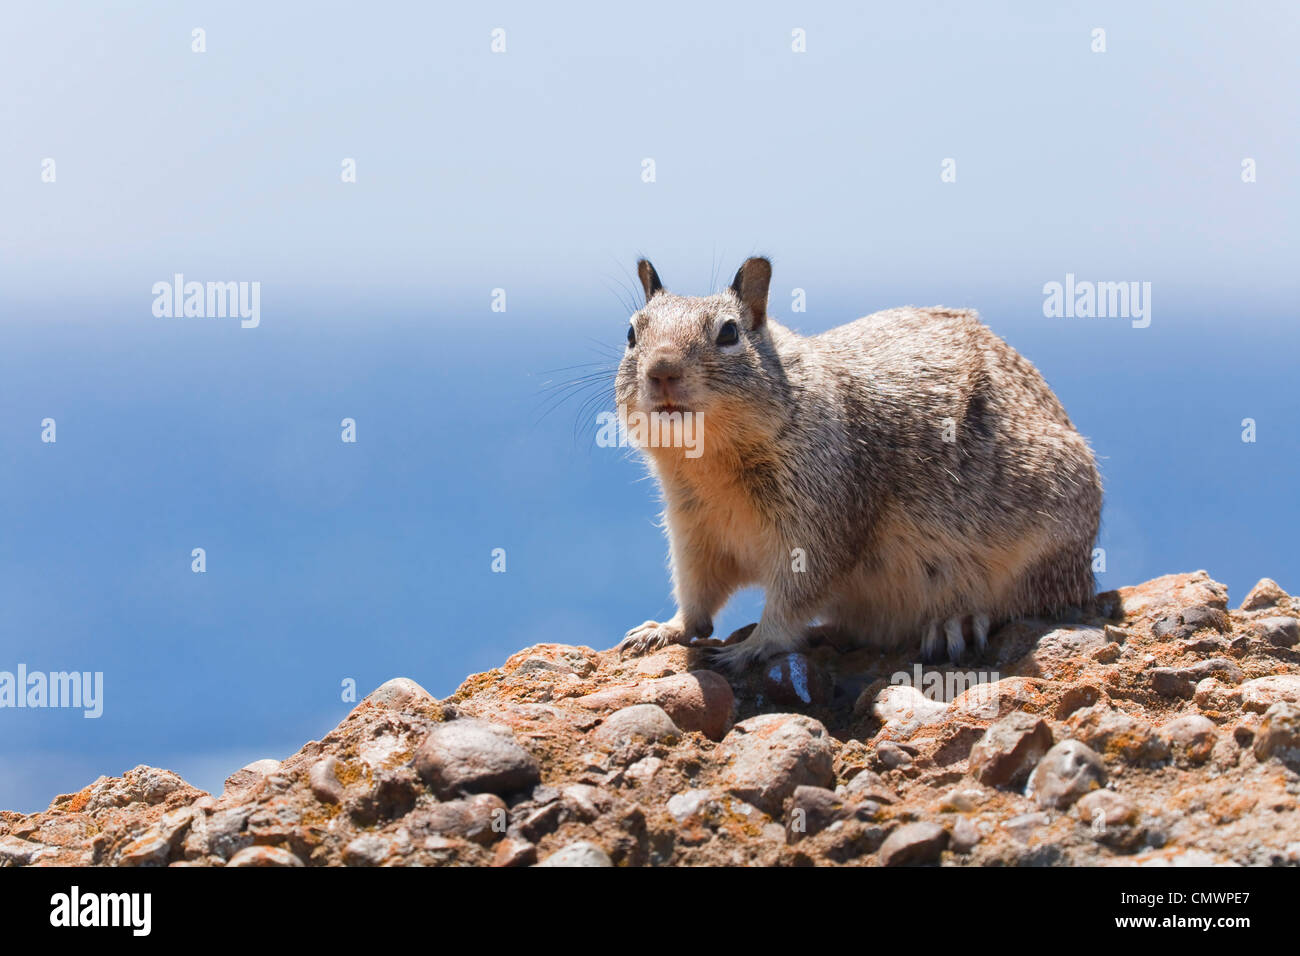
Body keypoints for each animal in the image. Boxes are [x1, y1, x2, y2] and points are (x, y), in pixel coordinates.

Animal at [615, 256, 1102, 672]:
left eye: (729, 332)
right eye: (632, 334)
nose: (662, 370)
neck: (710, 463)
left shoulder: (818, 522)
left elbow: (794, 599)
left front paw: (752, 647)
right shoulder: (694, 529)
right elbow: (697, 595)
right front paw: (664, 629)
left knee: (1025, 604)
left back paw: (956, 622)